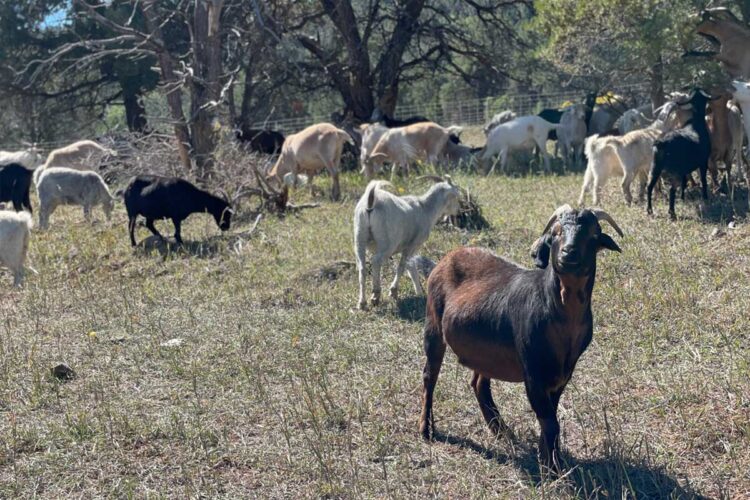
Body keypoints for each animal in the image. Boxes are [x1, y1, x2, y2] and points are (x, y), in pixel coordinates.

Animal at [353, 177, 461, 310]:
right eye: (456, 195)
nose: (457, 211)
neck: (424, 208)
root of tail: (371, 201)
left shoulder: (407, 249)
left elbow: (411, 267)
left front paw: (419, 293)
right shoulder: (412, 245)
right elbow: (403, 266)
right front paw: (394, 292)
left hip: (359, 239)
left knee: (362, 268)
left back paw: (362, 303)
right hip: (387, 244)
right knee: (376, 261)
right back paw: (375, 296)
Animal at [419, 204, 623, 470]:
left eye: (593, 234)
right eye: (556, 233)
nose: (568, 253)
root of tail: (446, 258)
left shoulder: (562, 373)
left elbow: (551, 418)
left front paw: (548, 457)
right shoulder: (533, 372)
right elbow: (550, 422)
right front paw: (552, 467)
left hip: (487, 351)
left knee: (479, 383)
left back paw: (500, 430)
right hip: (433, 325)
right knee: (429, 376)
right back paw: (426, 429)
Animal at [647, 89, 714, 220]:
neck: (695, 125)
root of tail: (662, 142)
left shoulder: (684, 169)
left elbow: (684, 182)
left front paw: (683, 198)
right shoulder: (703, 162)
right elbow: (703, 179)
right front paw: (705, 198)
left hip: (655, 167)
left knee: (650, 186)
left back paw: (649, 211)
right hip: (673, 171)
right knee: (671, 190)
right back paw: (672, 213)